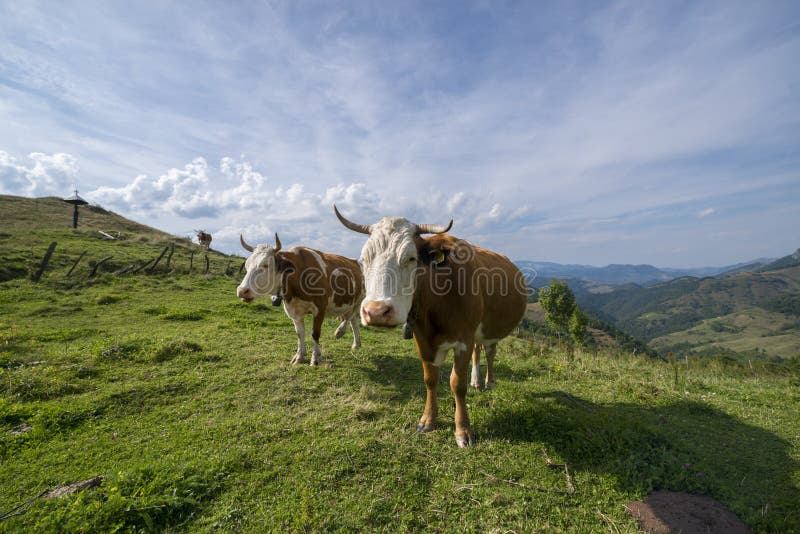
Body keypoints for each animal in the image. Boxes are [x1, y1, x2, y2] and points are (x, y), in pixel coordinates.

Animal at [237, 232, 364, 366]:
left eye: (265, 265)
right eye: (246, 266)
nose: (241, 291)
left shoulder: (320, 308)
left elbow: (315, 333)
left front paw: (315, 358)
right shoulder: (293, 310)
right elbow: (299, 333)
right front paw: (299, 356)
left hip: (361, 298)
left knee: (352, 314)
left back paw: (340, 331)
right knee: (353, 320)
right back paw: (356, 344)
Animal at [334, 205, 527, 447]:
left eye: (411, 258)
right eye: (364, 259)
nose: (376, 312)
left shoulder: (464, 339)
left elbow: (457, 384)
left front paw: (463, 430)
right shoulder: (422, 337)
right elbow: (430, 379)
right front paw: (428, 420)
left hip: (491, 328)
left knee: (490, 352)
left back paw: (488, 382)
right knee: (478, 350)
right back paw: (476, 381)